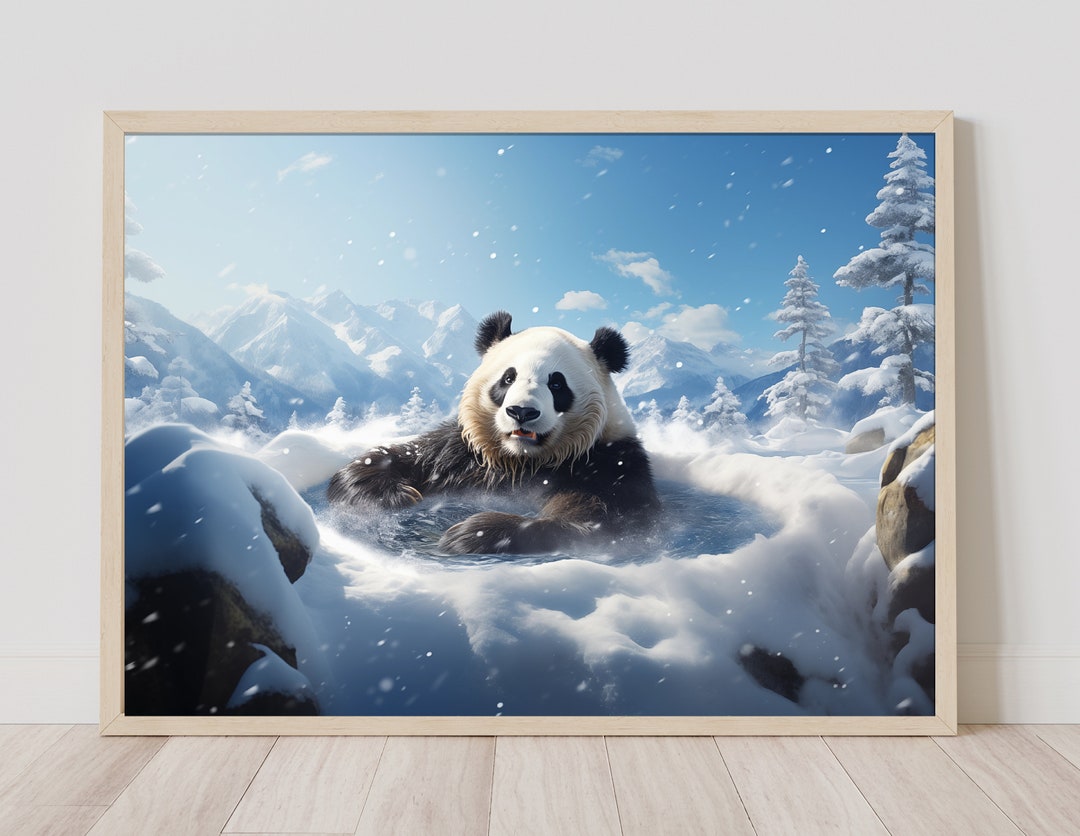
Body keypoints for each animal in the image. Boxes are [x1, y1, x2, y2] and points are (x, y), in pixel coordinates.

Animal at [327, 310, 661, 555]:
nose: (522, 412)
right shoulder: (464, 455)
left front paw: (471, 534)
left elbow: (602, 526)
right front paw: (394, 494)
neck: (523, 461)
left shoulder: (610, 465)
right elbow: (410, 456)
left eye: (557, 383)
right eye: (508, 378)